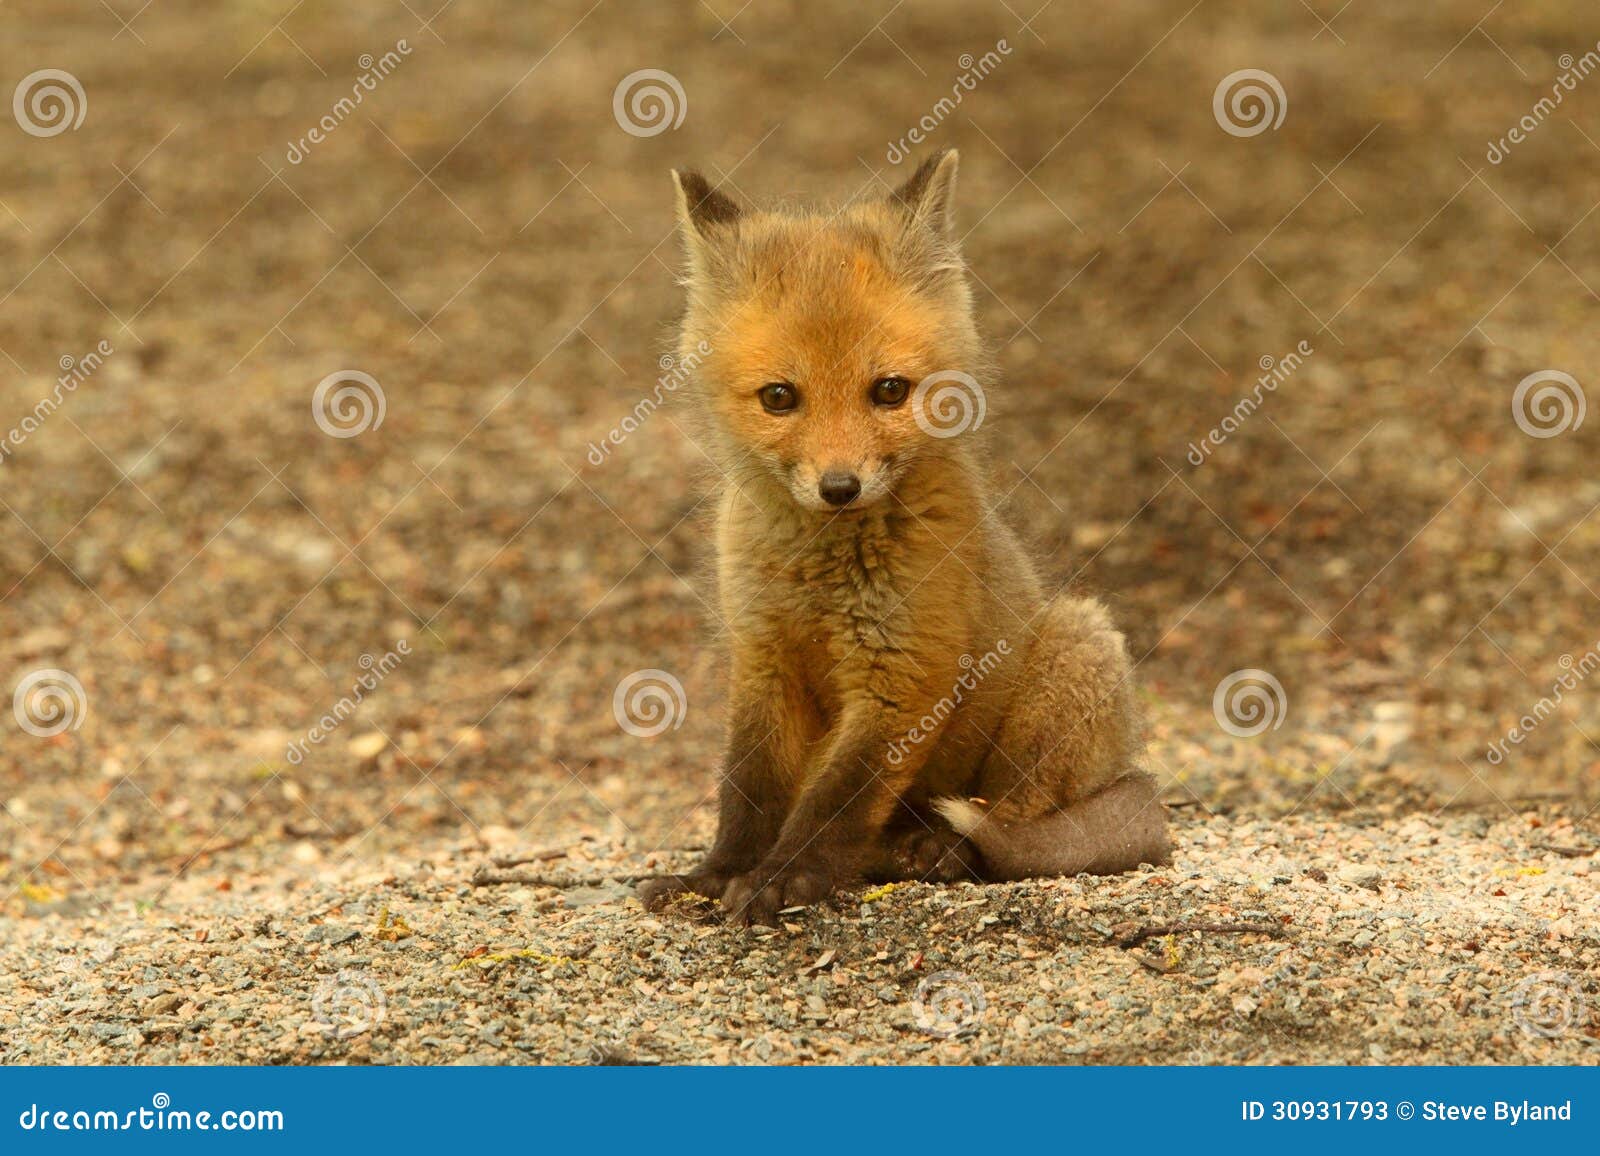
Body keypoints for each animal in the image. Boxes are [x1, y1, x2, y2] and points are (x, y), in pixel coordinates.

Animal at [638, 150, 1170, 927]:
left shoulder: (904, 675)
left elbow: (835, 801)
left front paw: (784, 879)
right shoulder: (763, 660)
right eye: (779, 397)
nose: (839, 487)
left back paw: (940, 851)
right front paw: (718, 874)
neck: (821, 576)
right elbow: (748, 791)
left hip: (1074, 649)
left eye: (889, 390)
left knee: (1011, 821)